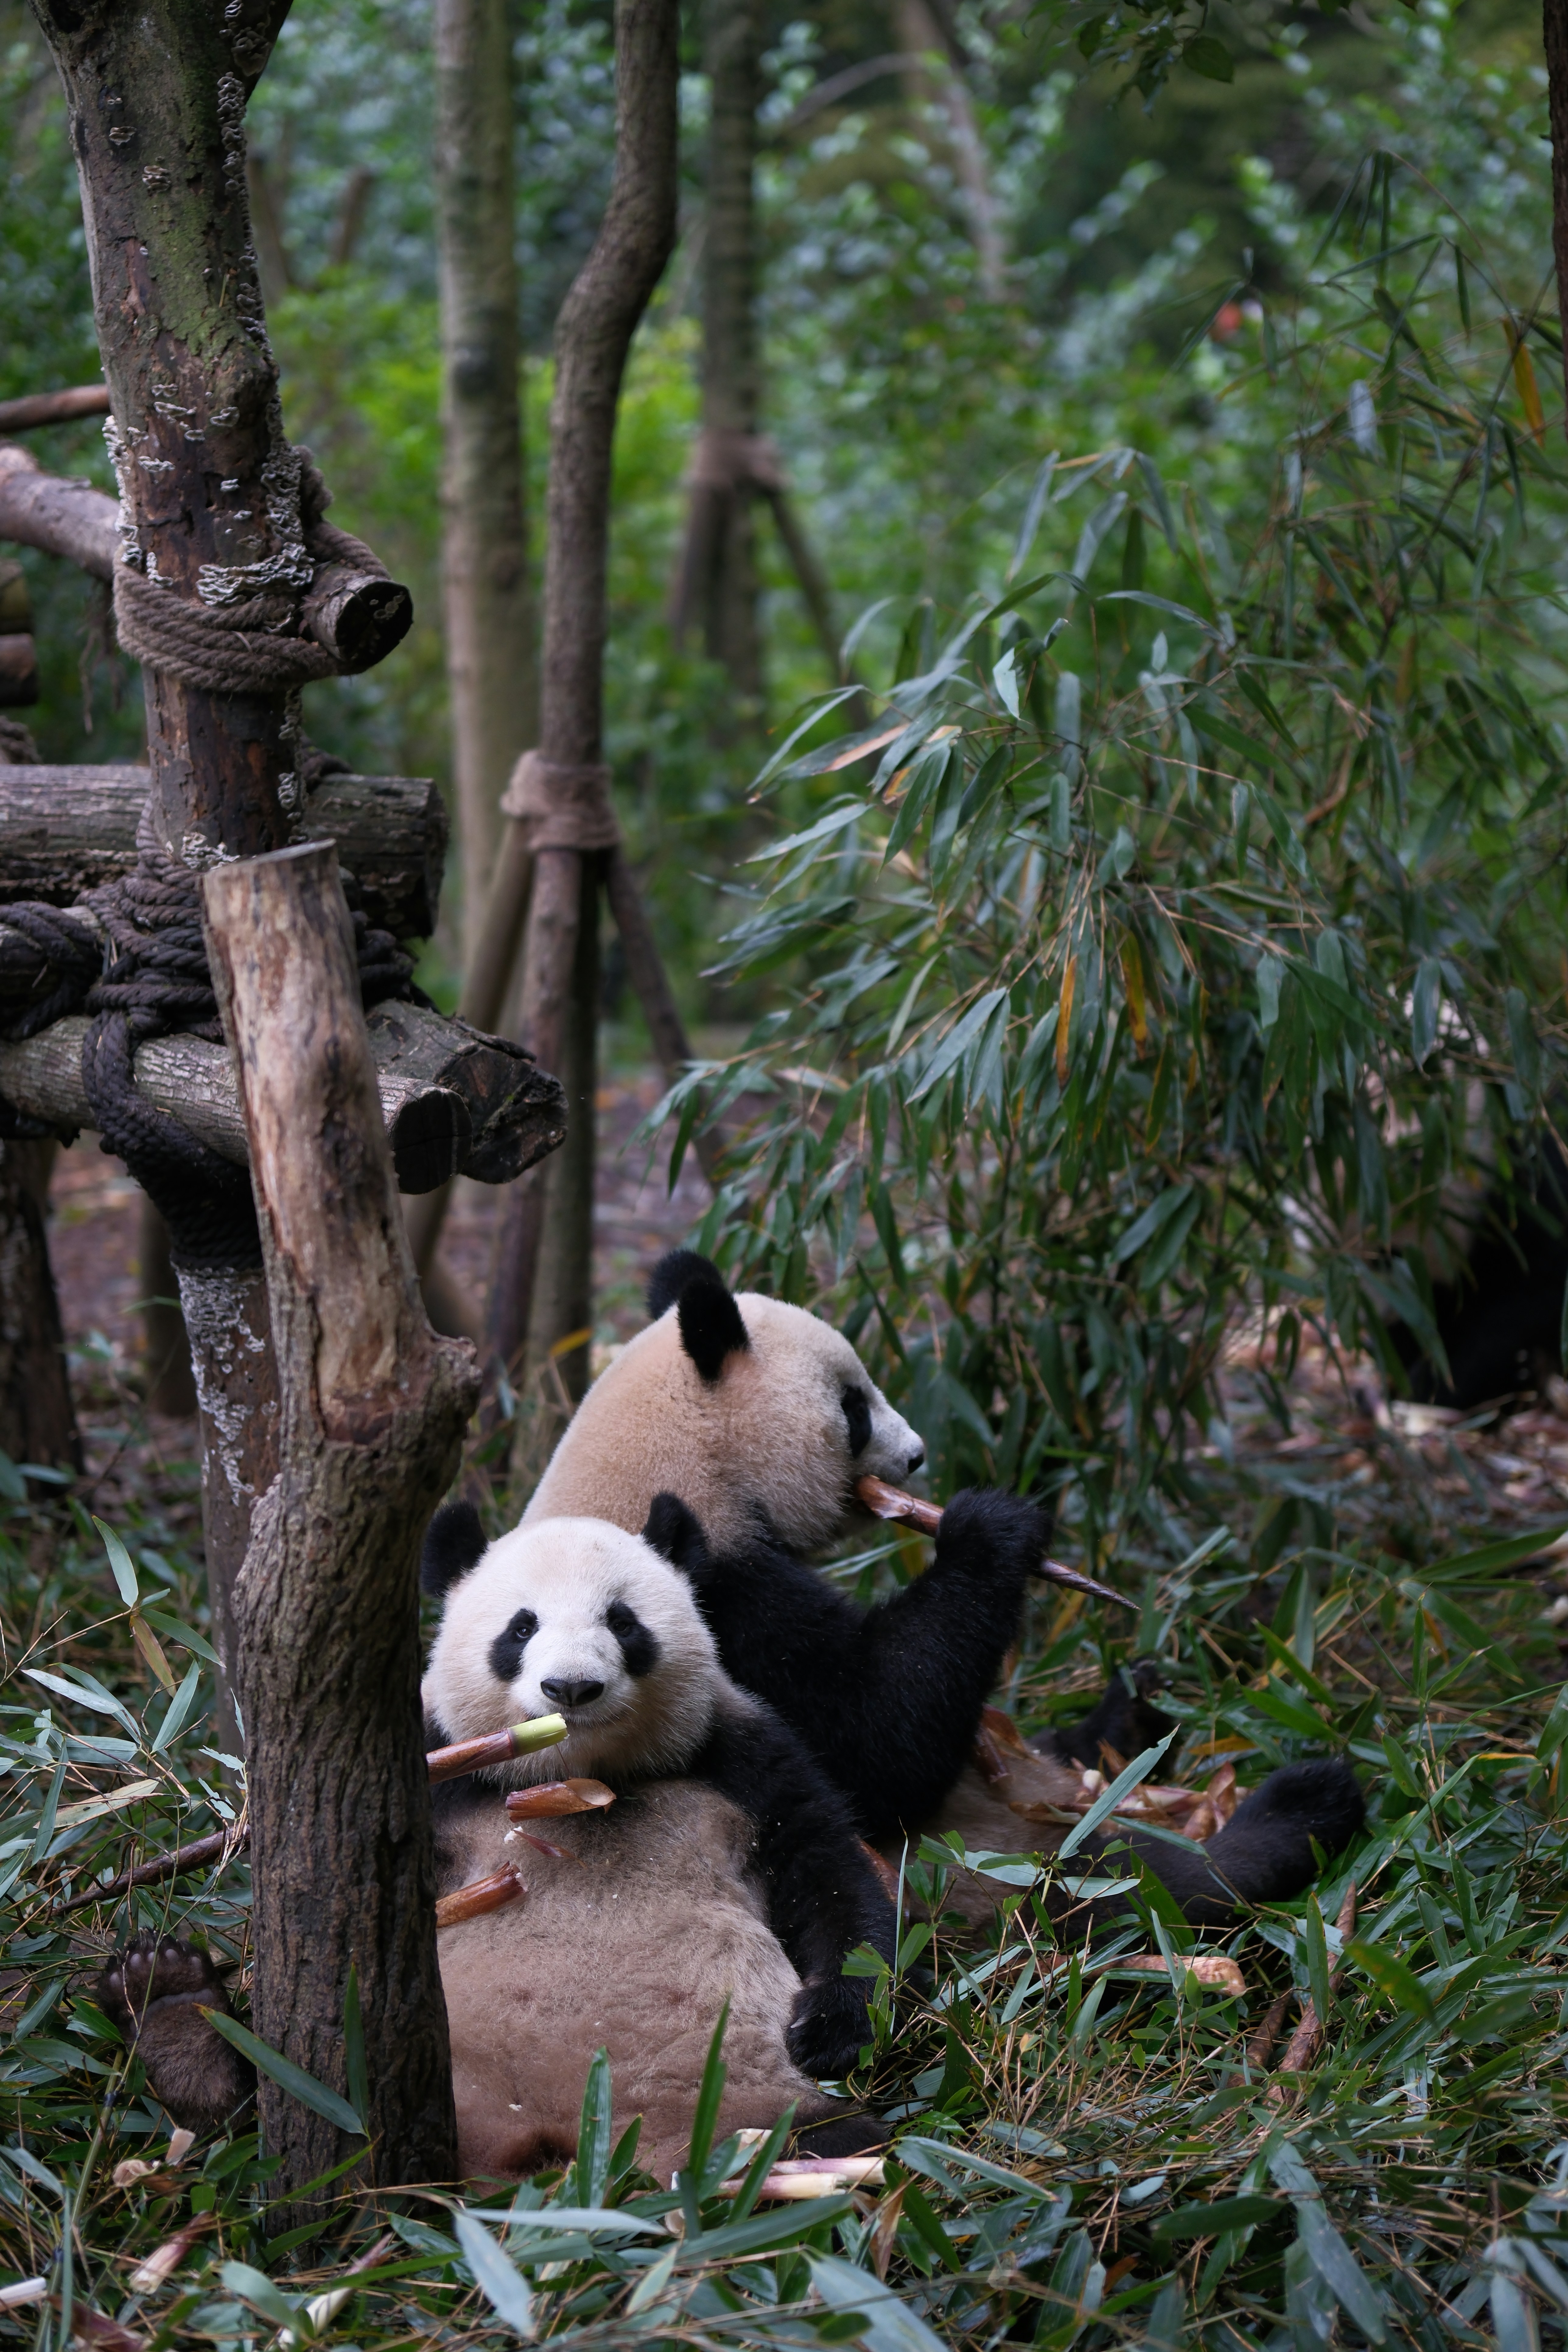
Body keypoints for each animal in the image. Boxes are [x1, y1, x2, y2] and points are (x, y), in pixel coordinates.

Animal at [422, 1503, 896, 2184]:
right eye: (521, 1627)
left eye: (623, 1622)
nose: (571, 1688)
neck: (581, 1783)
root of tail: (555, 2138)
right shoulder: (444, 1775)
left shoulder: (740, 1759)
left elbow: (828, 1877)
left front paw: (828, 2030)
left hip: (725, 2088)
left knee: (807, 2137)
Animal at [516, 1249, 1365, 1925]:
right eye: (854, 1406)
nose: (919, 1455)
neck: (680, 1460)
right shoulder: (707, 1605)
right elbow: (874, 1748)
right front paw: (992, 1527)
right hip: (990, 1870)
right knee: (1135, 1886)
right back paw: (1302, 1806)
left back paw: (1139, 1710)